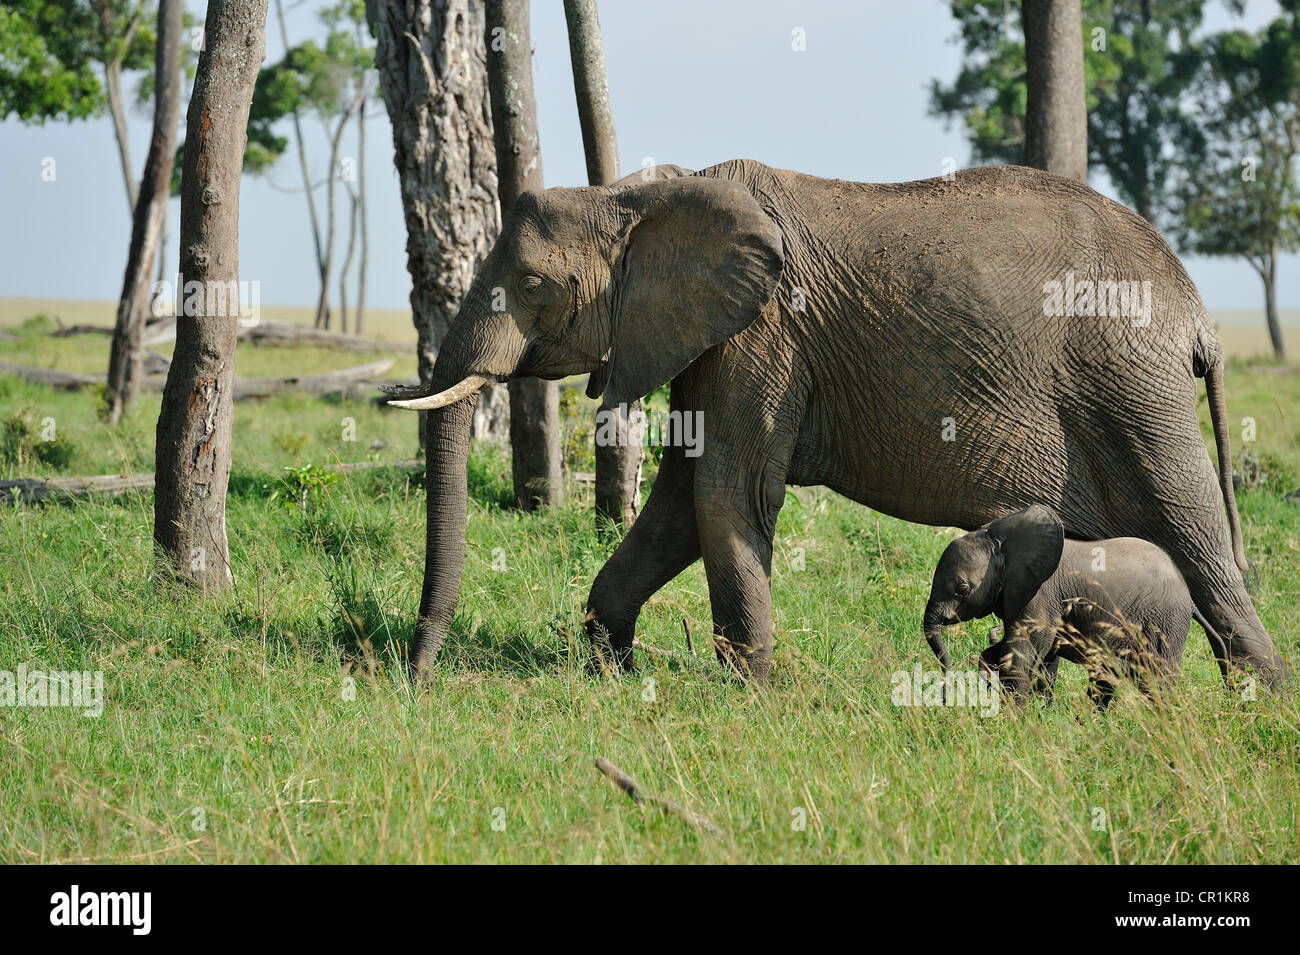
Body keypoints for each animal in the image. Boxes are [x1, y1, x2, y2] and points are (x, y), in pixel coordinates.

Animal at [387, 158, 1286, 687]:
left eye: (534, 284)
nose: (417, 676)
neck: (643, 192)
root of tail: (1198, 314)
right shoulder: (710, 337)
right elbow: (679, 503)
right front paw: (610, 663)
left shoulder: (762, 337)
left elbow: (724, 497)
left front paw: (747, 693)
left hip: (1133, 391)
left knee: (1201, 547)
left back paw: (1261, 706)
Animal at [923, 505, 1210, 708]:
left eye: (962, 589)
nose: (944, 700)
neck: (999, 538)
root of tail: (1189, 598)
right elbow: (1033, 653)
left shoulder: (1040, 594)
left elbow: (1025, 650)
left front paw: (1013, 719)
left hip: (1166, 623)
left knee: (1158, 679)